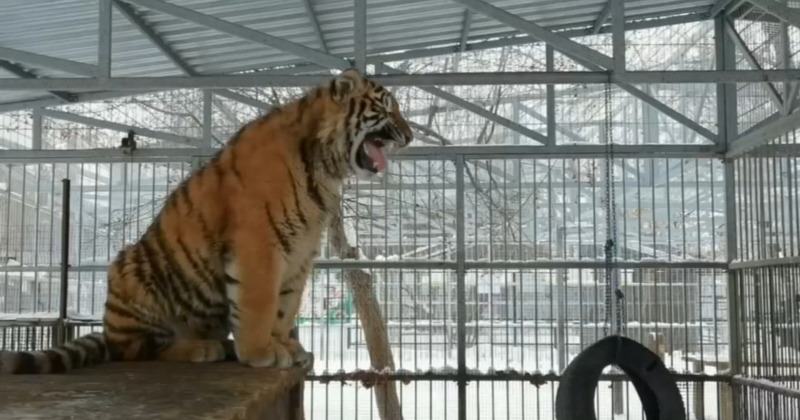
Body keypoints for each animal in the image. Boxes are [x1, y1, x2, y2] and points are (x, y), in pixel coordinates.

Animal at [0, 68, 413, 374]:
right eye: (386, 108)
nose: (409, 136)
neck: (325, 166)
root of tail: (107, 329)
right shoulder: (260, 243)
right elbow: (261, 303)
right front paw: (261, 352)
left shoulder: (301, 251)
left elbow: (286, 306)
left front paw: (286, 345)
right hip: (131, 273)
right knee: (138, 349)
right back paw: (202, 348)